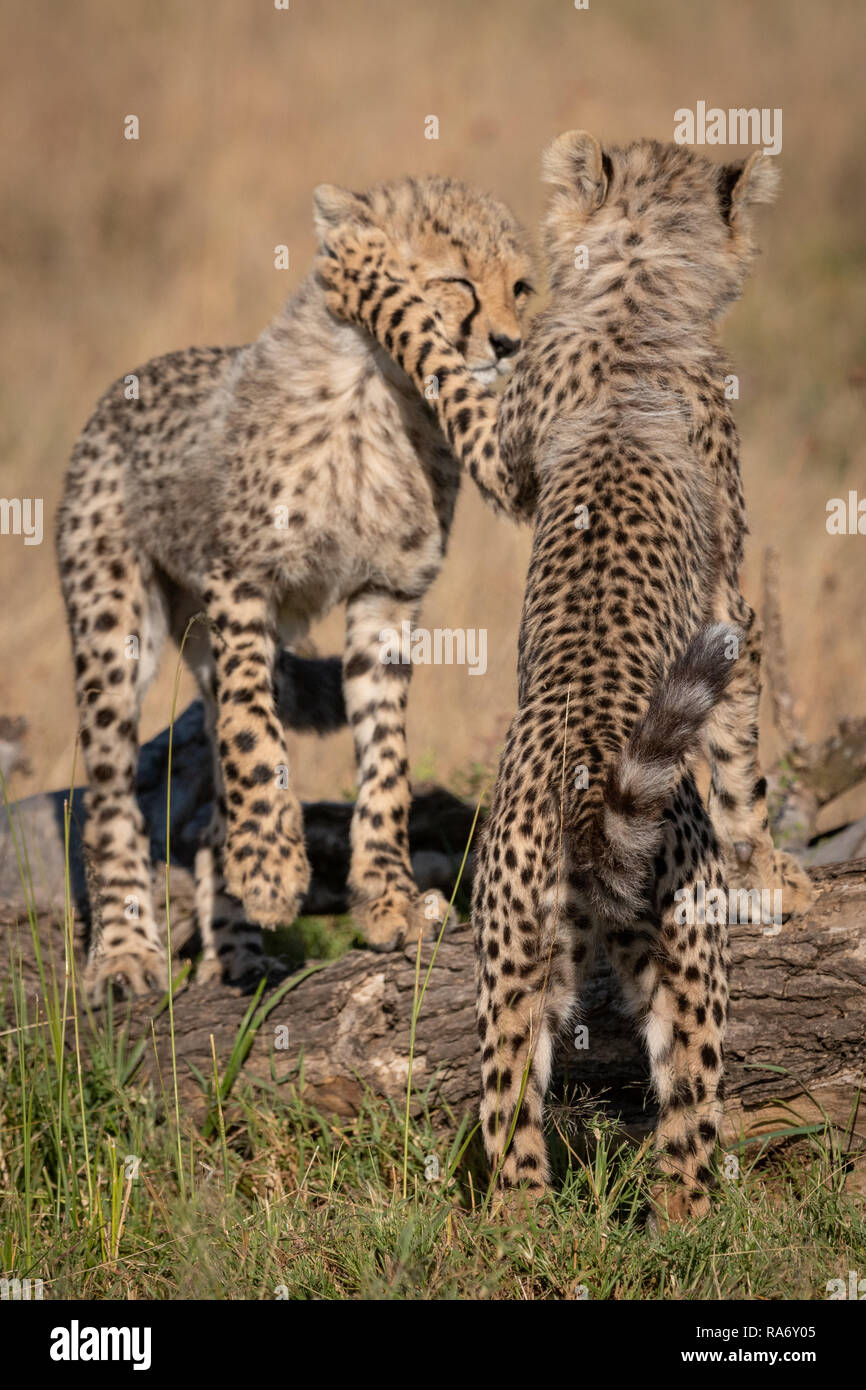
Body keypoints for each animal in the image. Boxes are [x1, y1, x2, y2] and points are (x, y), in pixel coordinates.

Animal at [56, 174, 536, 1003]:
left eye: (520, 287)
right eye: (458, 281)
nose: (508, 345)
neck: (381, 390)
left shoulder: (386, 597)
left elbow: (385, 761)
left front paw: (387, 899)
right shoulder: (243, 578)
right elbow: (255, 735)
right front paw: (275, 870)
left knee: (209, 807)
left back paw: (239, 952)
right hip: (116, 627)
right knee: (113, 797)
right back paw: (125, 952)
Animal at [315, 132, 814, 1221]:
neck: (634, 284)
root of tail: (593, 793)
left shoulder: (514, 457)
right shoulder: (725, 598)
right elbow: (742, 749)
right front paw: (773, 871)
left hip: (513, 958)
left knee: (517, 1124)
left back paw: (534, 1227)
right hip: (674, 953)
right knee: (684, 1128)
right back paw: (681, 1228)